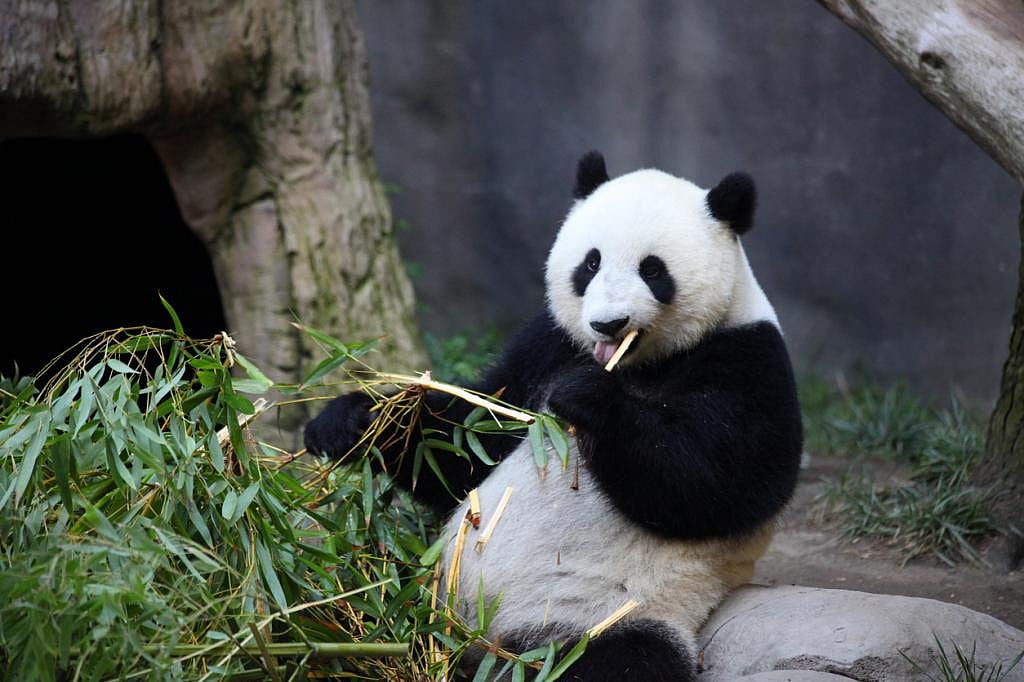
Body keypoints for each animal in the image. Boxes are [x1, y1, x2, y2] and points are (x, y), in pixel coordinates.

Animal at [303, 151, 803, 681]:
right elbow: (466, 441)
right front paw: (351, 422)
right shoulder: (548, 346)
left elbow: (717, 481)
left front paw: (588, 398)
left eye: (653, 270)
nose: (608, 323)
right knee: (355, 577)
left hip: (602, 617)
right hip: (423, 571)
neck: (637, 363)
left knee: (619, 660)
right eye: (591, 262)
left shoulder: (746, 357)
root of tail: (472, 644)